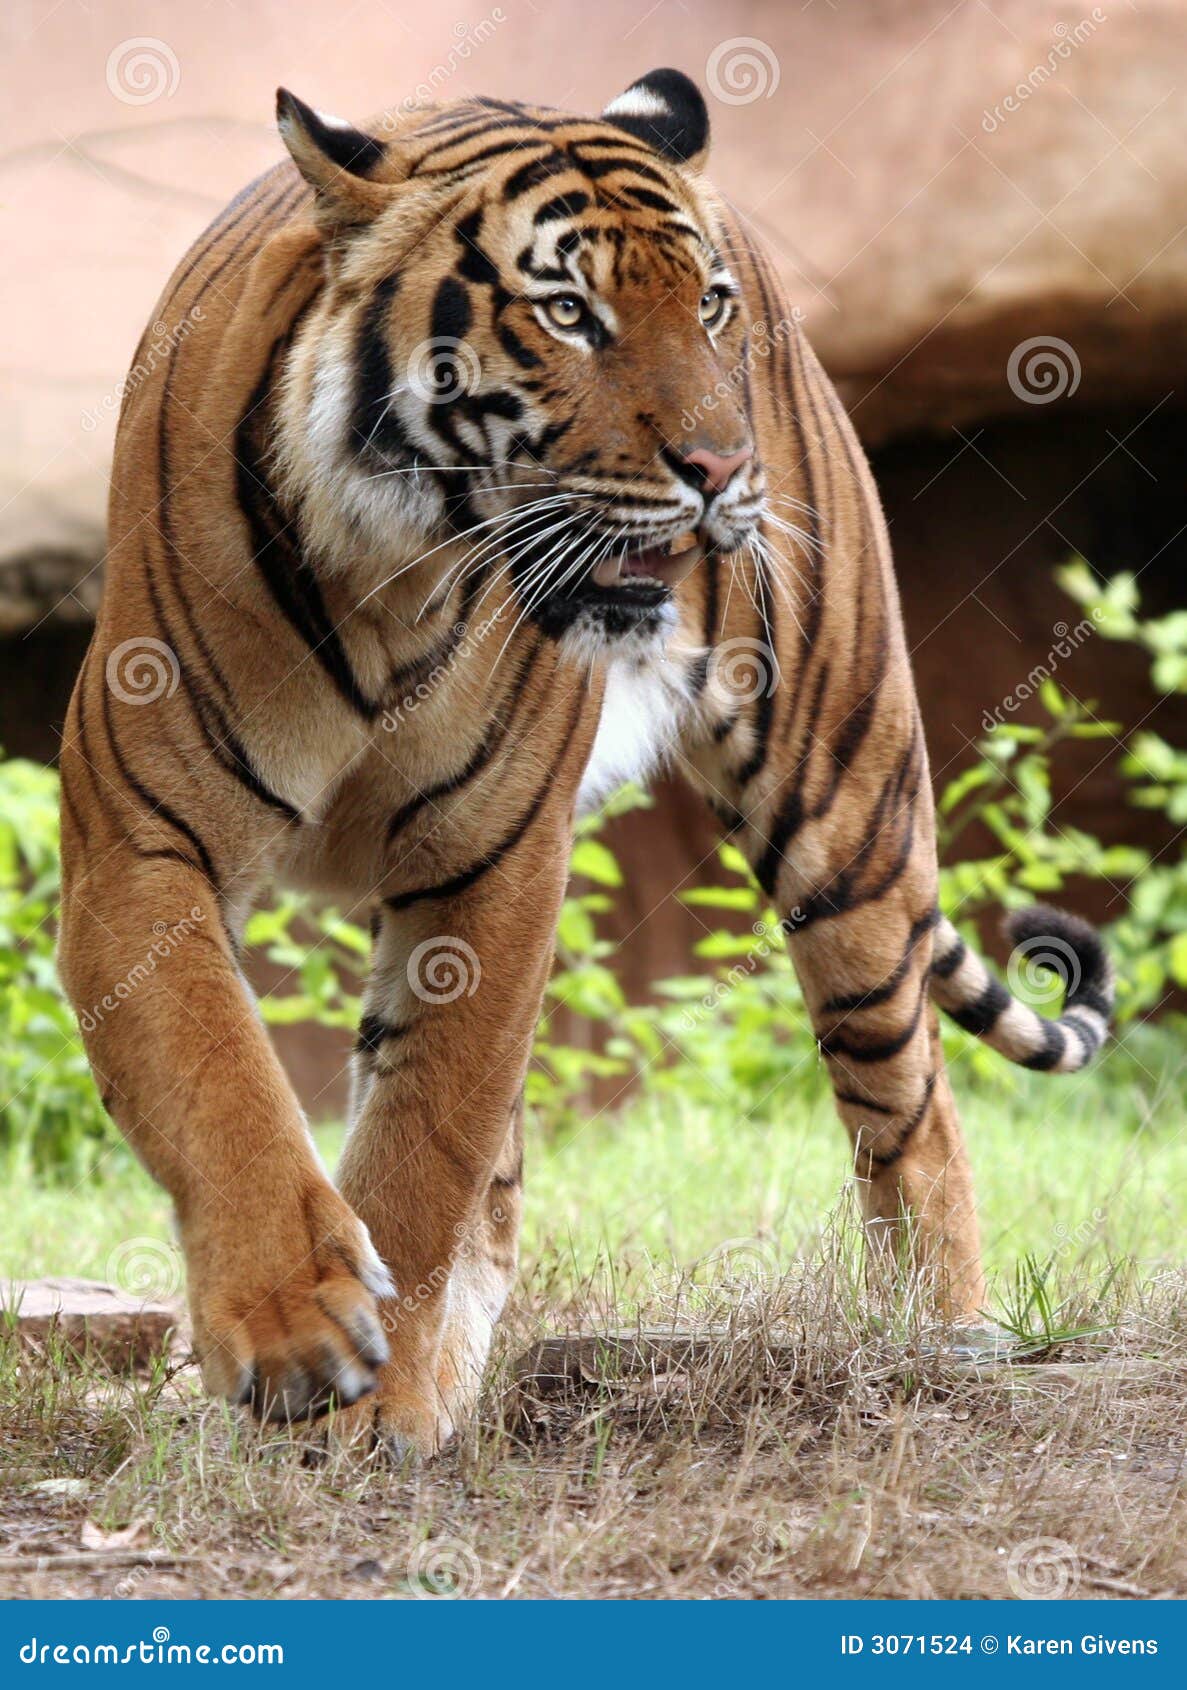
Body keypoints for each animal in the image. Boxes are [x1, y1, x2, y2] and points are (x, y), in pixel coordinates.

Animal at [58, 67, 1114, 1458]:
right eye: (568, 313)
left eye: (704, 306)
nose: (722, 471)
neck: (392, 580)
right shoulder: (139, 840)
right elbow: (217, 1076)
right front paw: (298, 1334)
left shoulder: (495, 860)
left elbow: (424, 1139)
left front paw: (365, 1403)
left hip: (842, 806)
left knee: (912, 1104)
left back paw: (940, 1339)